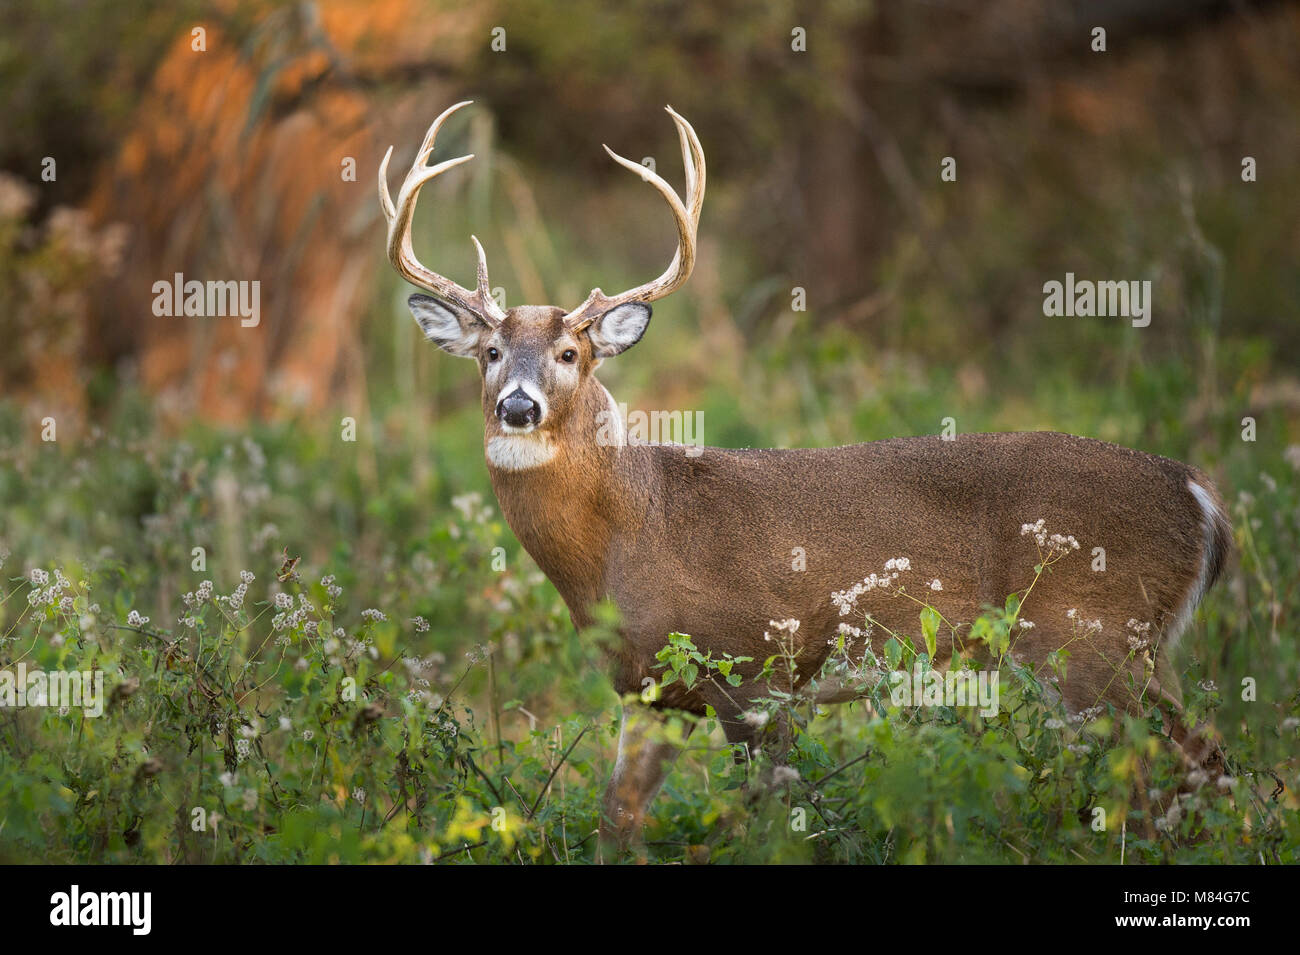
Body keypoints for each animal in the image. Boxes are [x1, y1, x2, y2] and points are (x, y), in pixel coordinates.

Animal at [378, 101, 1232, 857]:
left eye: (570, 353)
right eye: (490, 352)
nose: (518, 405)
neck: (636, 529)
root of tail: (1199, 495)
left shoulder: (762, 668)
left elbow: (772, 818)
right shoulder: (647, 690)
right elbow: (616, 822)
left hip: (1093, 634)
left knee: (1185, 762)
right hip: (1128, 645)